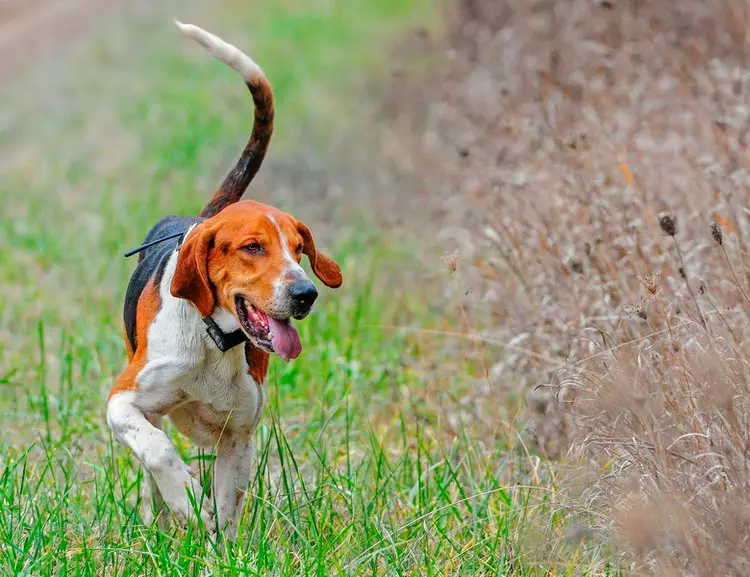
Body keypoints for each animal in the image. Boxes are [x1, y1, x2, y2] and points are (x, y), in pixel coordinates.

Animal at [106, 20, 344, 536]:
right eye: (253, 247)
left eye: (298, 248)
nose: (306, 294)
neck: (212, 338)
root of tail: (201, 218)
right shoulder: (122, 402)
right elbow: (158, 452)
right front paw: (185, 499)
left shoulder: (238, 434)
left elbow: (228, 514)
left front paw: (218, 538)